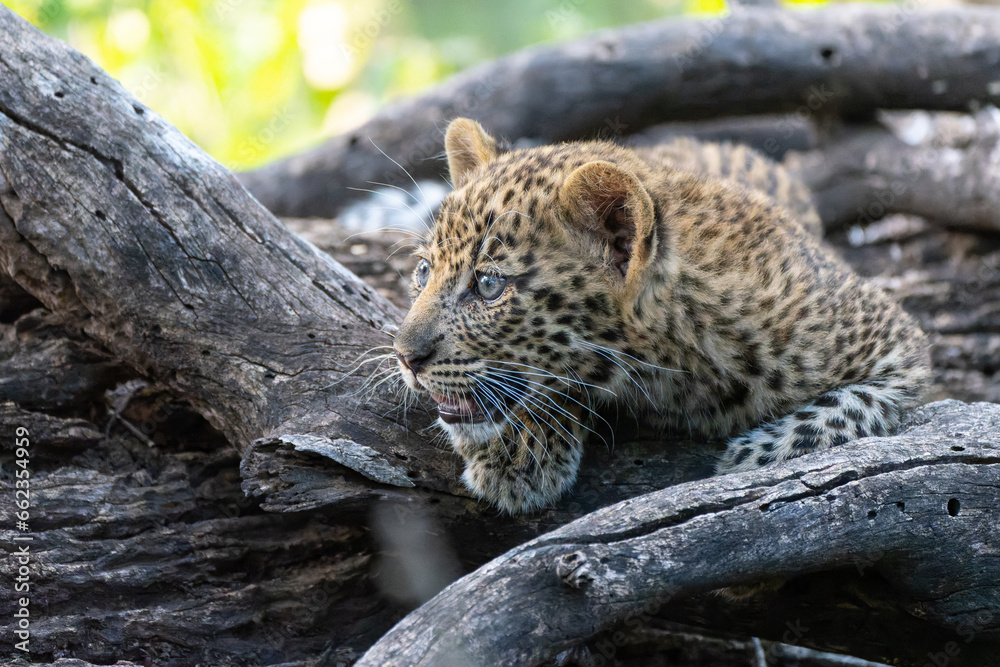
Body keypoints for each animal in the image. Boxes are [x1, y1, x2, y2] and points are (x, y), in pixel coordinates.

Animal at [392, 117, 930, 514]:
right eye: (423, 271)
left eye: (488, 285)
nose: (403, 357)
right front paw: (518, 450)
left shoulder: (895, 342)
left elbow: (848, 408)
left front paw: (749, 459)